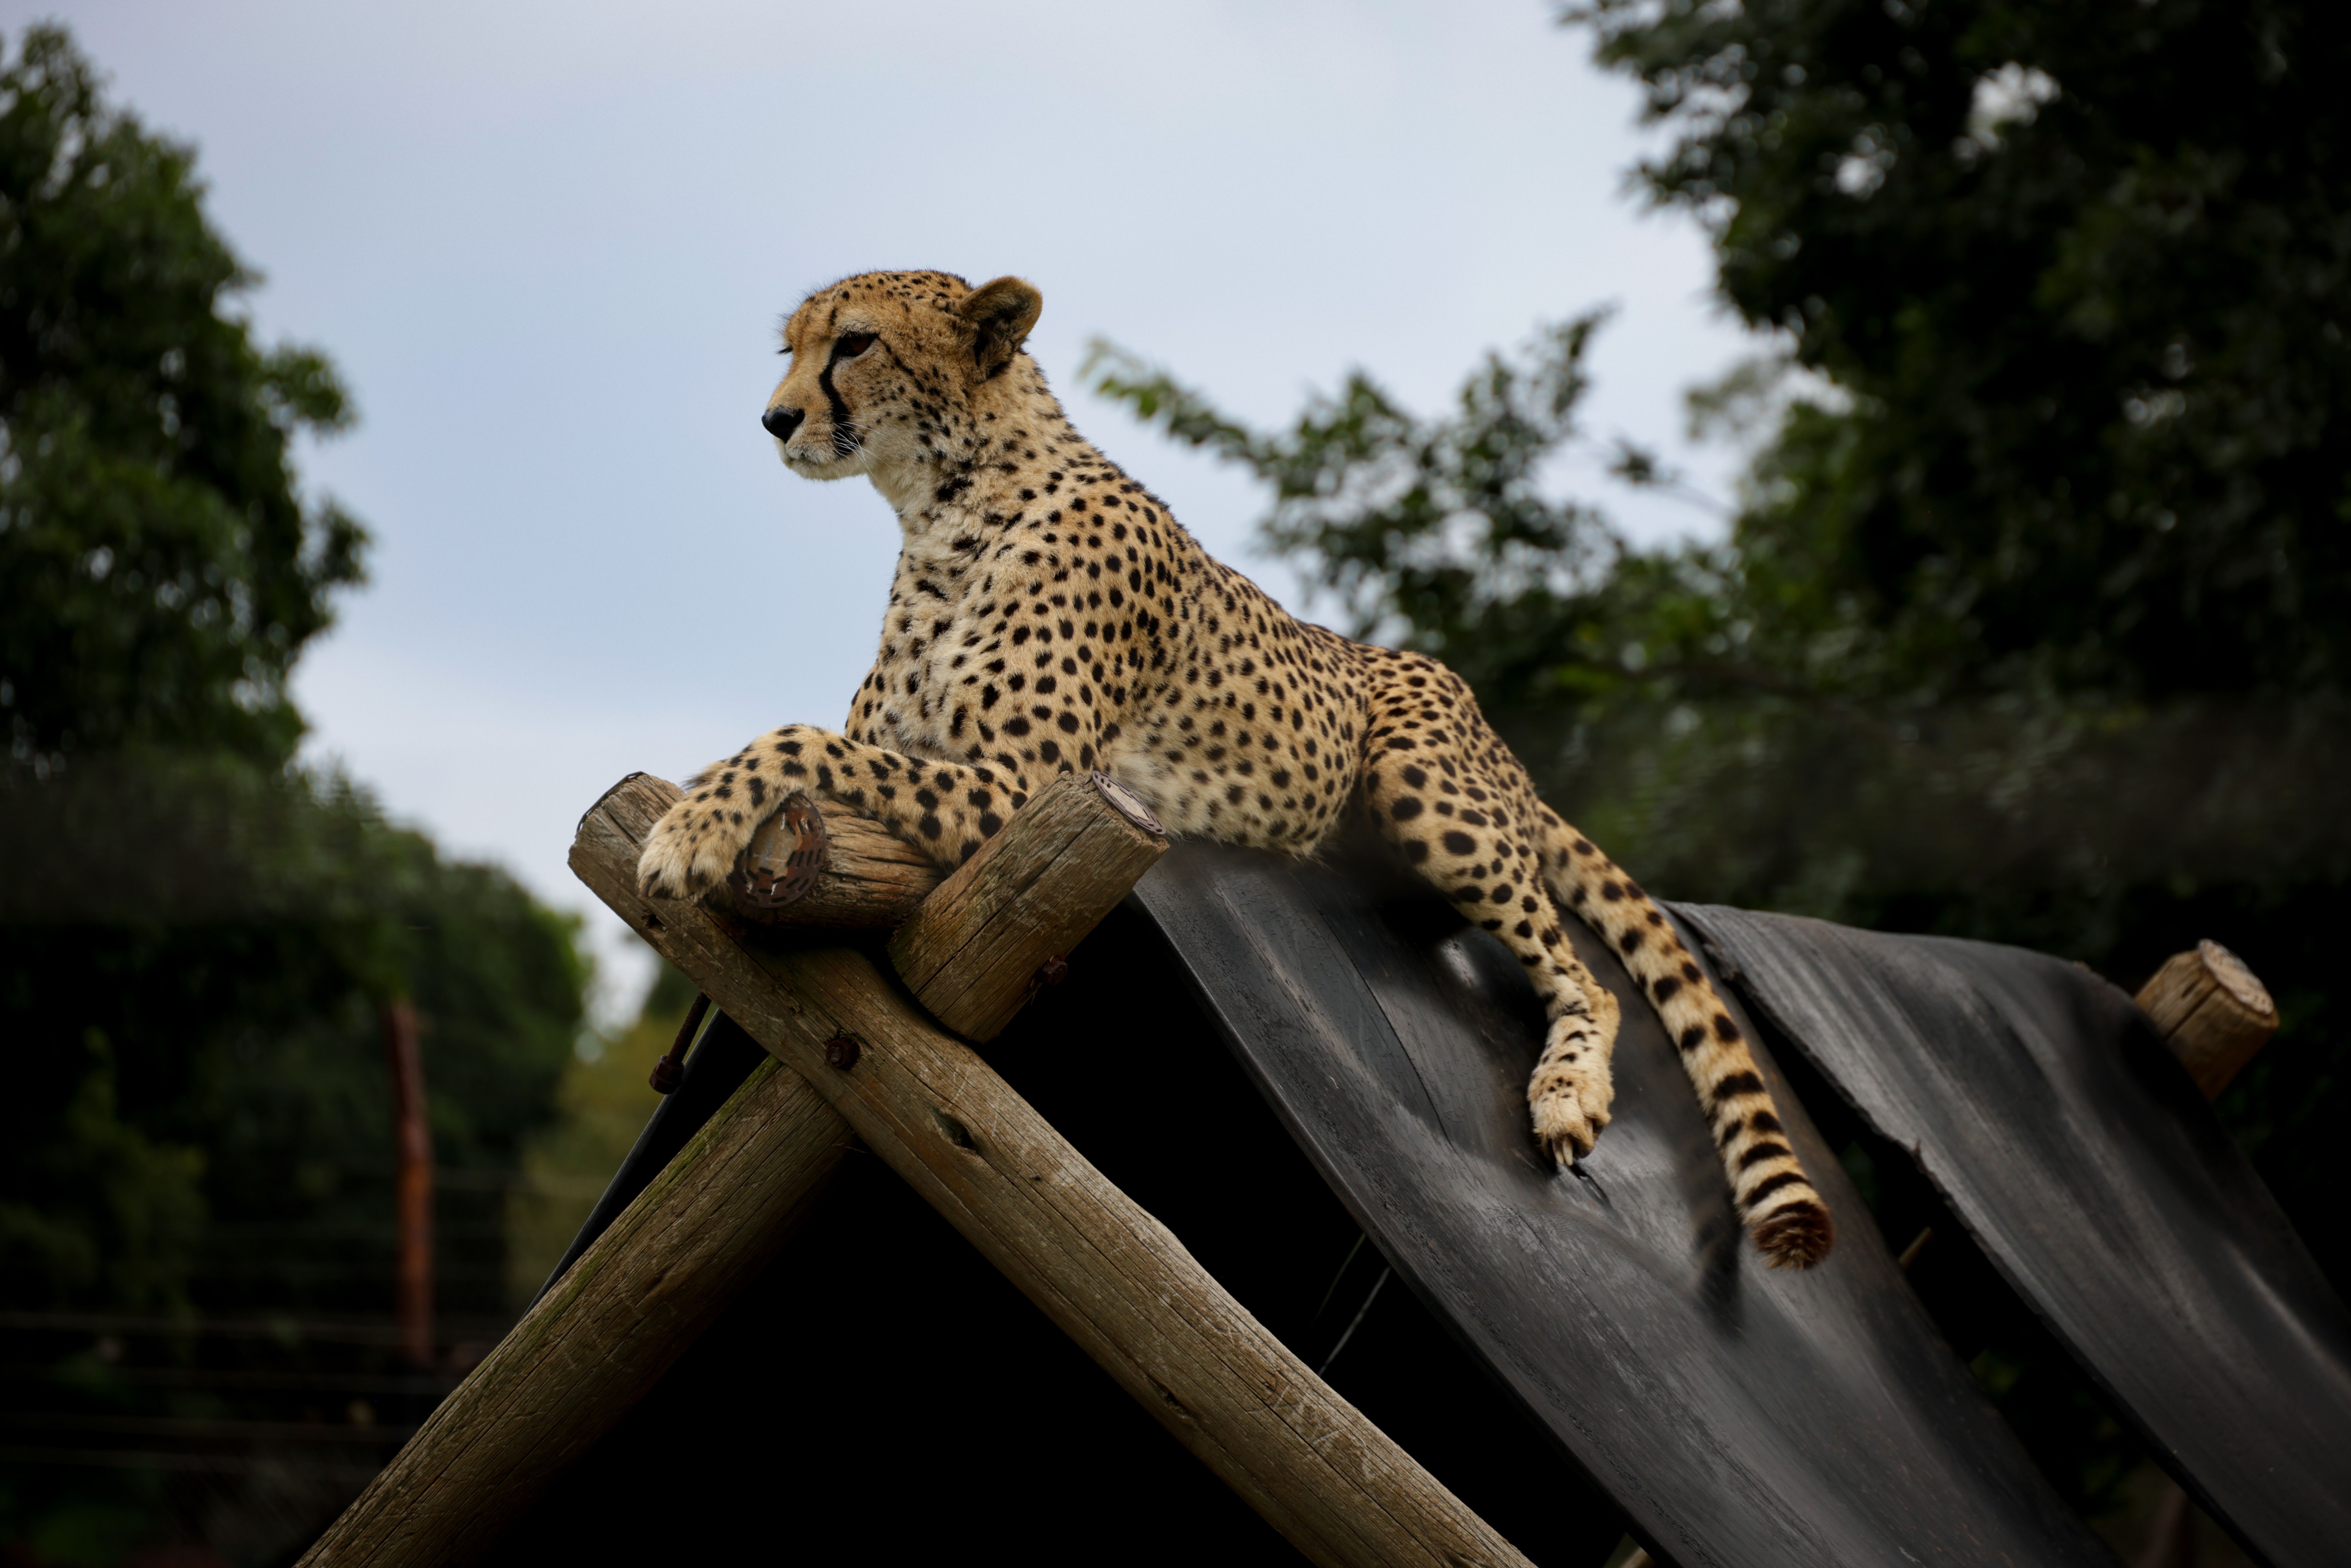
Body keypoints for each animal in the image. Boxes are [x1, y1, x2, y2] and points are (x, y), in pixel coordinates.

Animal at [636, 270, 1834, 1268]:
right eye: (789, 347)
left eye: (852, 343)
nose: (775, 418)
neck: (942, 506)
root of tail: (1468, 708)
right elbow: (828, 735)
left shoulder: (1025, 783)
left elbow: (799, 737)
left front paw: (689, 829)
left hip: (1419, 785)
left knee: (1586, 974)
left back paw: (1568, 1092)